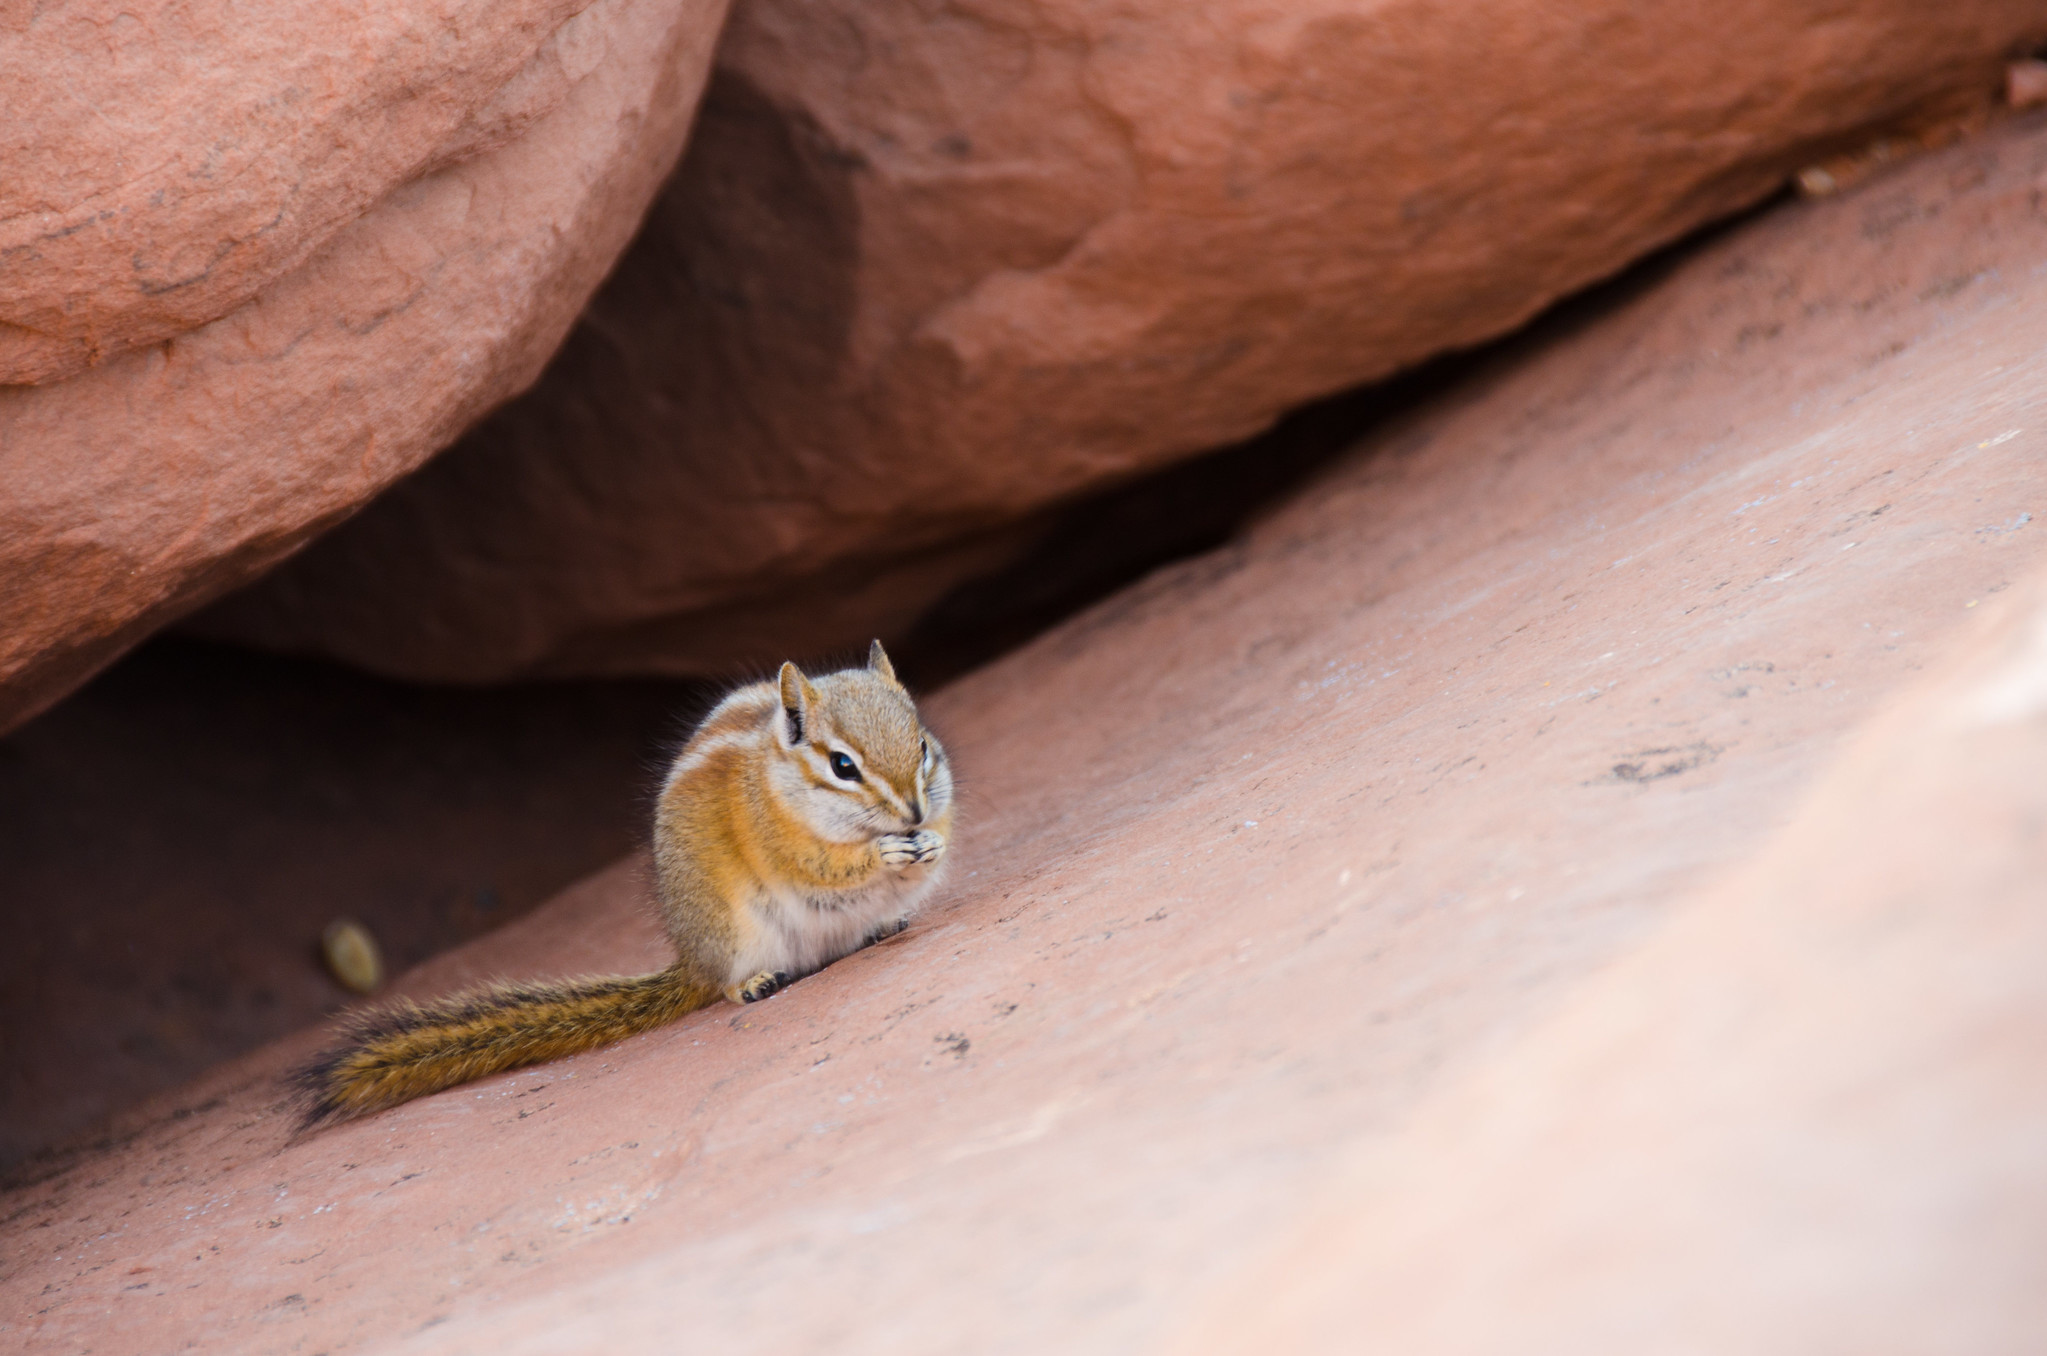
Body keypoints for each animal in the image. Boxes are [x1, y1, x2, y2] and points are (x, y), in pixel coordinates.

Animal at [295, 641, 952, 1127]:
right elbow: (824, 867)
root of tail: (691, 960)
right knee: (726, 985)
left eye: (922, 745)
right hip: (737, 932)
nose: (914, 813)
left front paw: (931, 843)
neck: (780, 778)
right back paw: (753, 984)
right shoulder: (783, 841)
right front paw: (886, 853)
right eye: (843, 765)